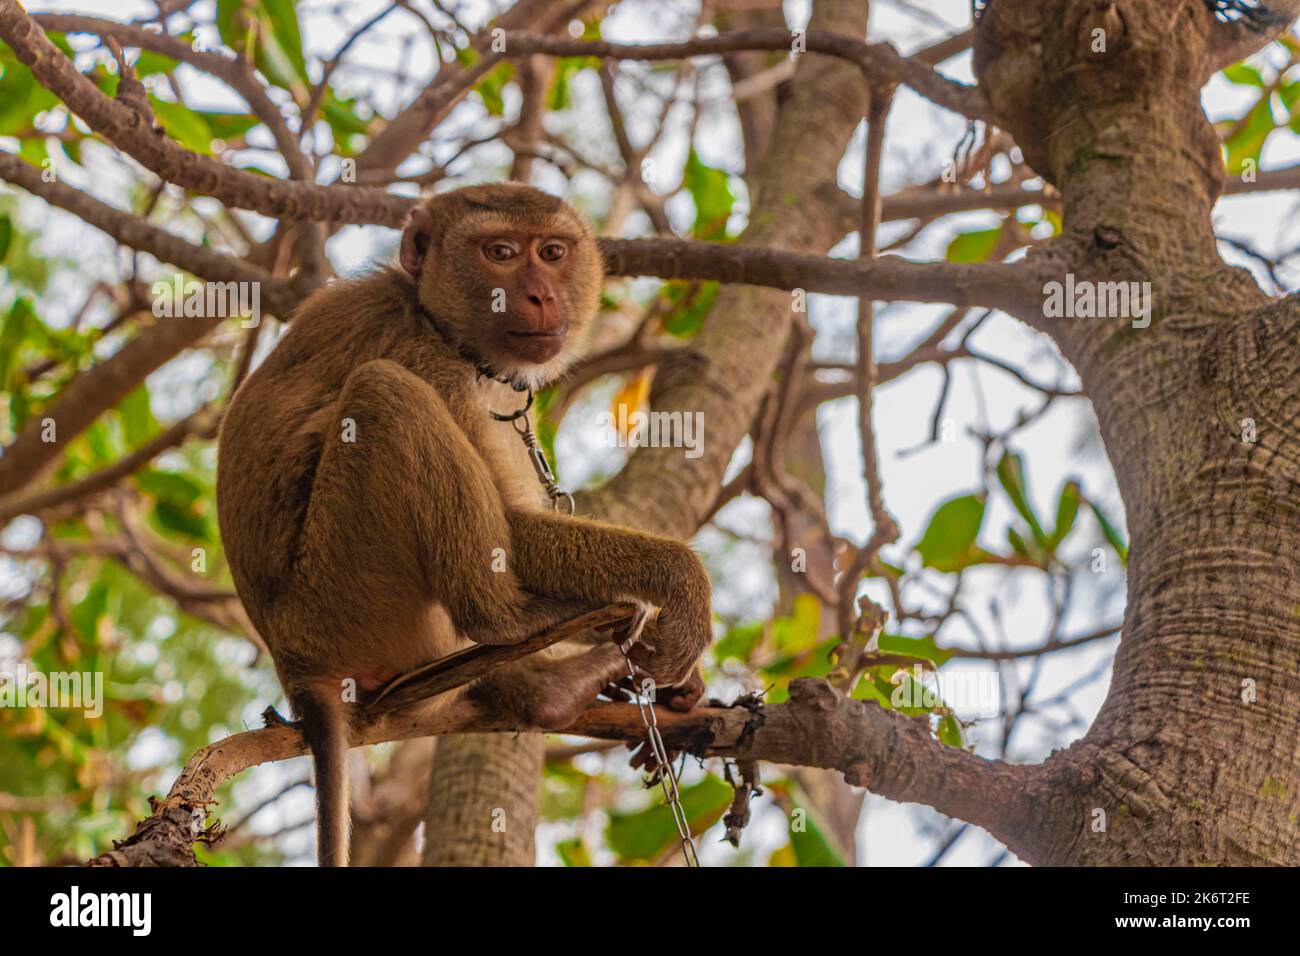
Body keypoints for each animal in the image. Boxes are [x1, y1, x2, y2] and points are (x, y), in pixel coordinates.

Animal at [216, 183, 713, 867]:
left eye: (552, 252)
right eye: (499, 253)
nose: (540, 294)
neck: (437, 321)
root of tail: (297, 668)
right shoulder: (420, 350)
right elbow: (513, 530)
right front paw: (680, 583)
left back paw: (549, 688)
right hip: (344, 597)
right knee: (385, 395)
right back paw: (509, 620)